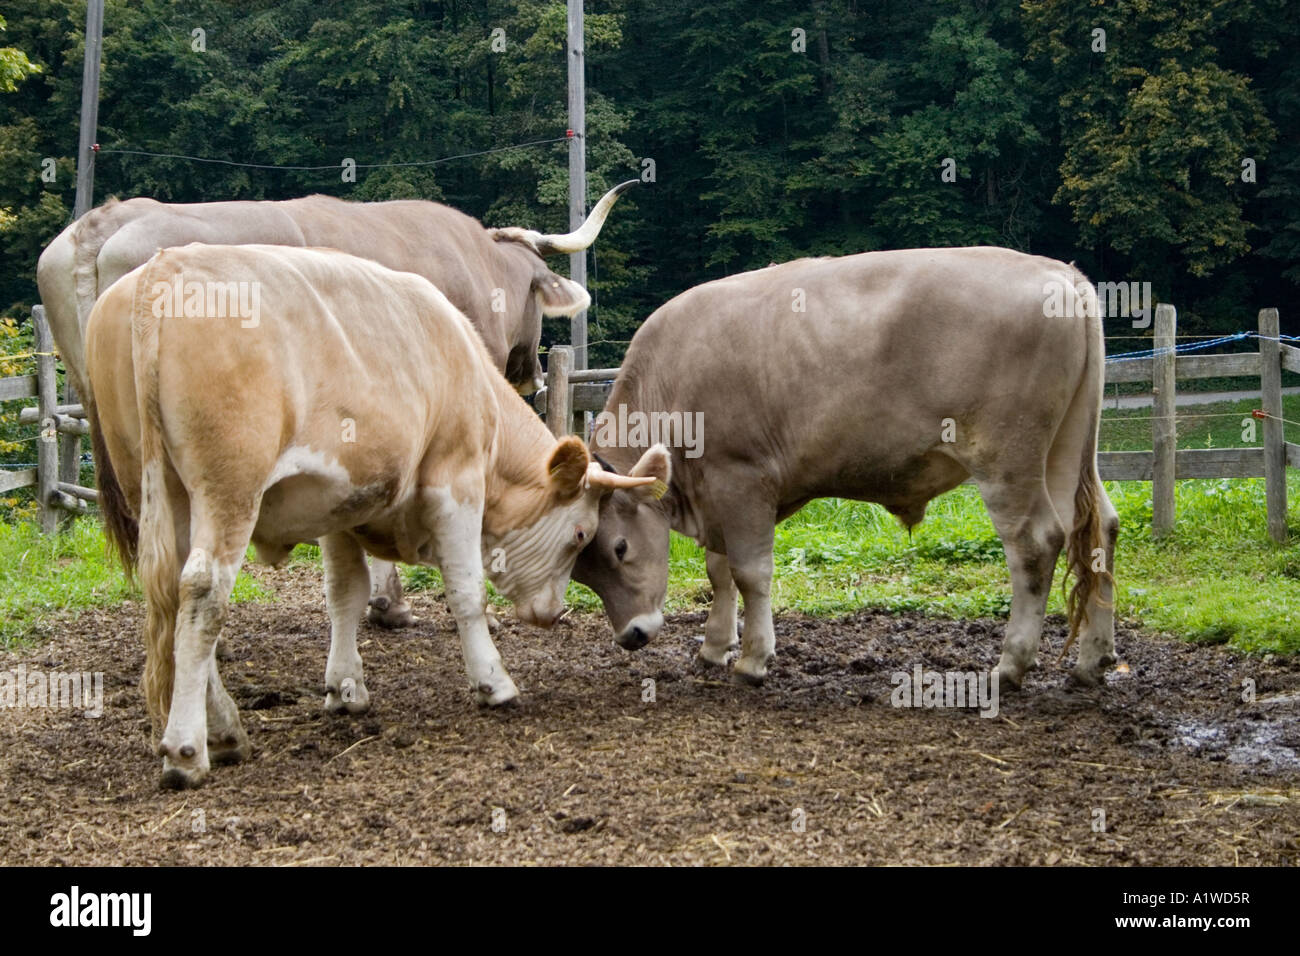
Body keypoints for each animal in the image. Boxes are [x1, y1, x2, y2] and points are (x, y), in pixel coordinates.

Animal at [85, 243, 657, 788]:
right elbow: (466, 592)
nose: (553, 613)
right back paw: (186, 748)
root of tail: (163, 267)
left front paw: (345, 689)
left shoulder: (340, 505)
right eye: (580, 534)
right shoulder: (455, 482)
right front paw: (494, 682)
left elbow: (345, 594)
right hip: (229, 488)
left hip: (156, 487)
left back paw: (225, 729)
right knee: (203, 595)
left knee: (170, 597)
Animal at [573, 247, 1120, 691]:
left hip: (1009, 457)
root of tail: (1060, 271)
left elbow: (749, 572)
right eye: (579, 566)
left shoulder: (740, 478)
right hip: (1068, 450)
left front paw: (752, 659)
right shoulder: (716, 494)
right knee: (1098, 529)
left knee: (1035, 542)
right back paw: (1092, 660)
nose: (631, 636)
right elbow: (718, 570)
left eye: (619, 547)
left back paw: (1010, 666)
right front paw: (714, 647)